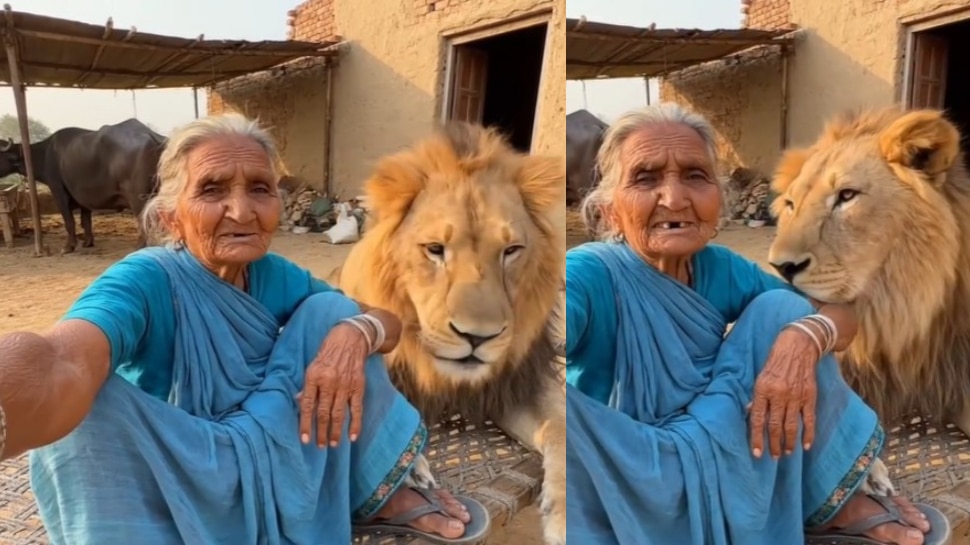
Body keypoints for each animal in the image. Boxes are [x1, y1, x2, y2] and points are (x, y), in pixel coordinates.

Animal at [333, 122, 566, 545]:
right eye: (435, 249)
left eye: (511, 250)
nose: (478, 338)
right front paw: (413, 467)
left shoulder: (511, 383)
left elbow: (560, 426)